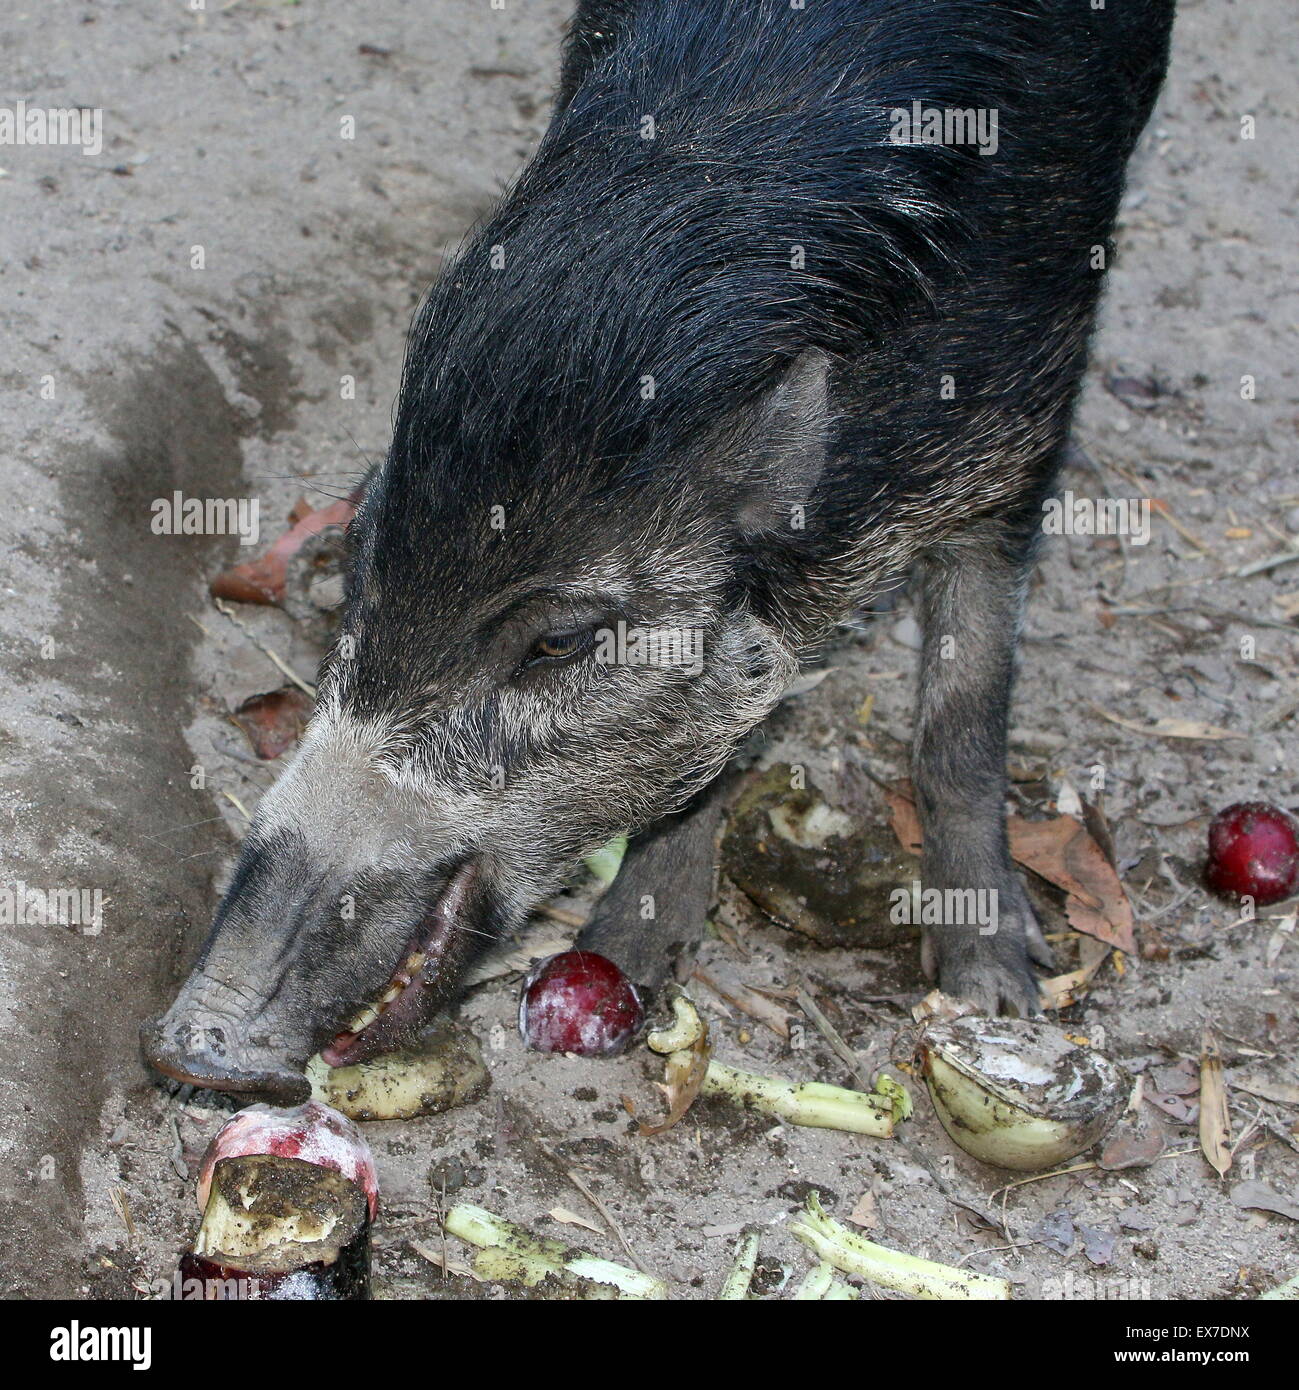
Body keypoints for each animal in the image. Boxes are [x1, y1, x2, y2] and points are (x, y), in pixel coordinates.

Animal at [144, 0, 1175, 1101]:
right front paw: (627, 966)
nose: (185, 1047)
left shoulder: (1022, 435)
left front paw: (996, 993)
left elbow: (964, 713)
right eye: (353, 568)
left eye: (558, 643)